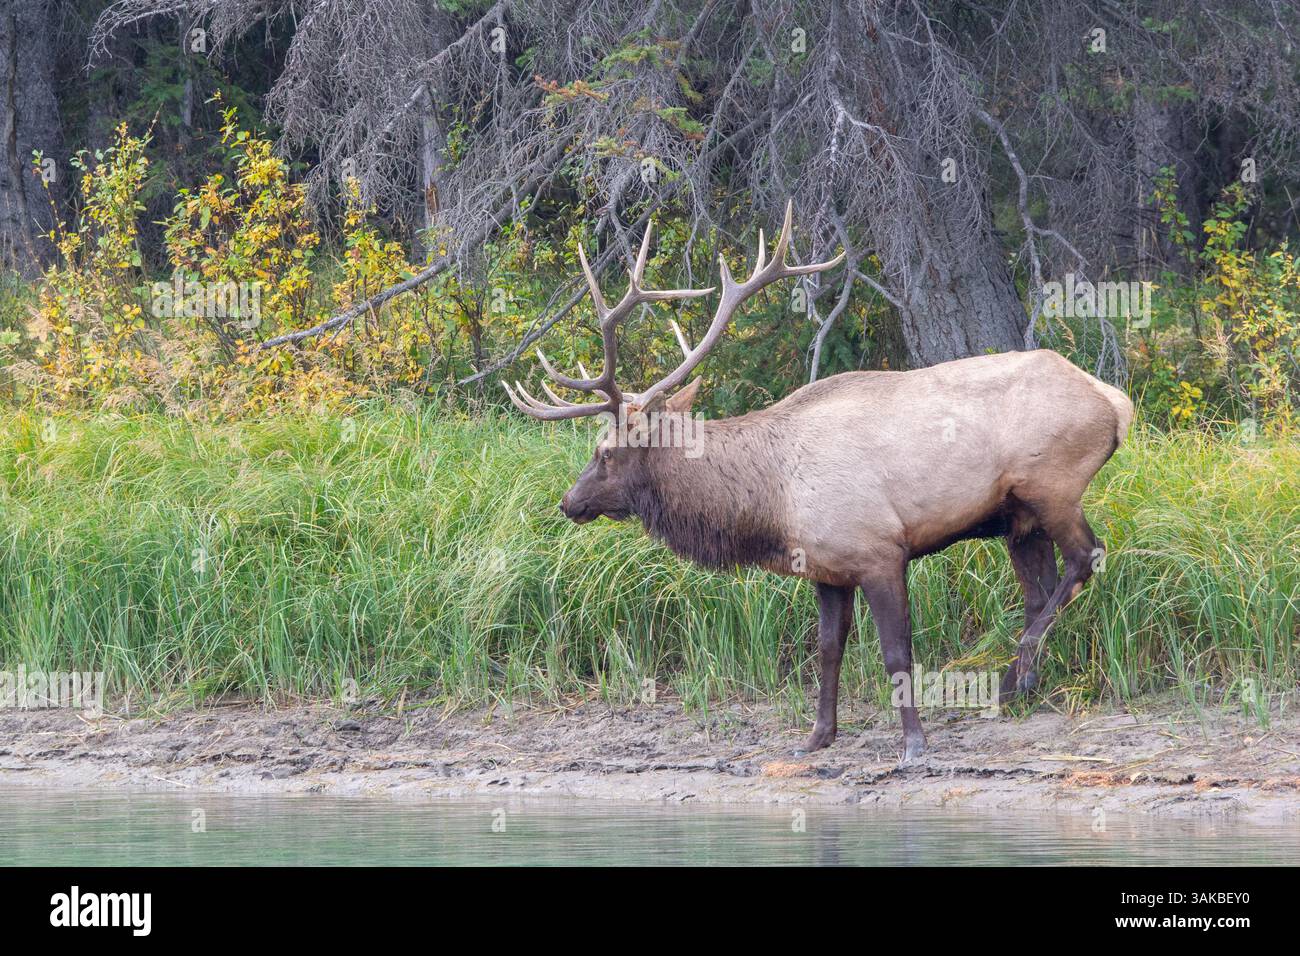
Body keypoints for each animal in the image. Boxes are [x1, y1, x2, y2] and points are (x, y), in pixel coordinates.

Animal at [504, 202, 1133, 763]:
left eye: (605, 452)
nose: (568, 502)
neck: (770, 503)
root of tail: (1114, 402)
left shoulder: (880, 550)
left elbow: (896, 653)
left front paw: (914, 743)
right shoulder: (828, 569)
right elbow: (827, 652)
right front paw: (816, 737)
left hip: (1052, 484)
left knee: (1086, 557)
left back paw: (1015, 673)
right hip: (1016, 518)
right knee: (1039, 587)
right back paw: (1017, 683)